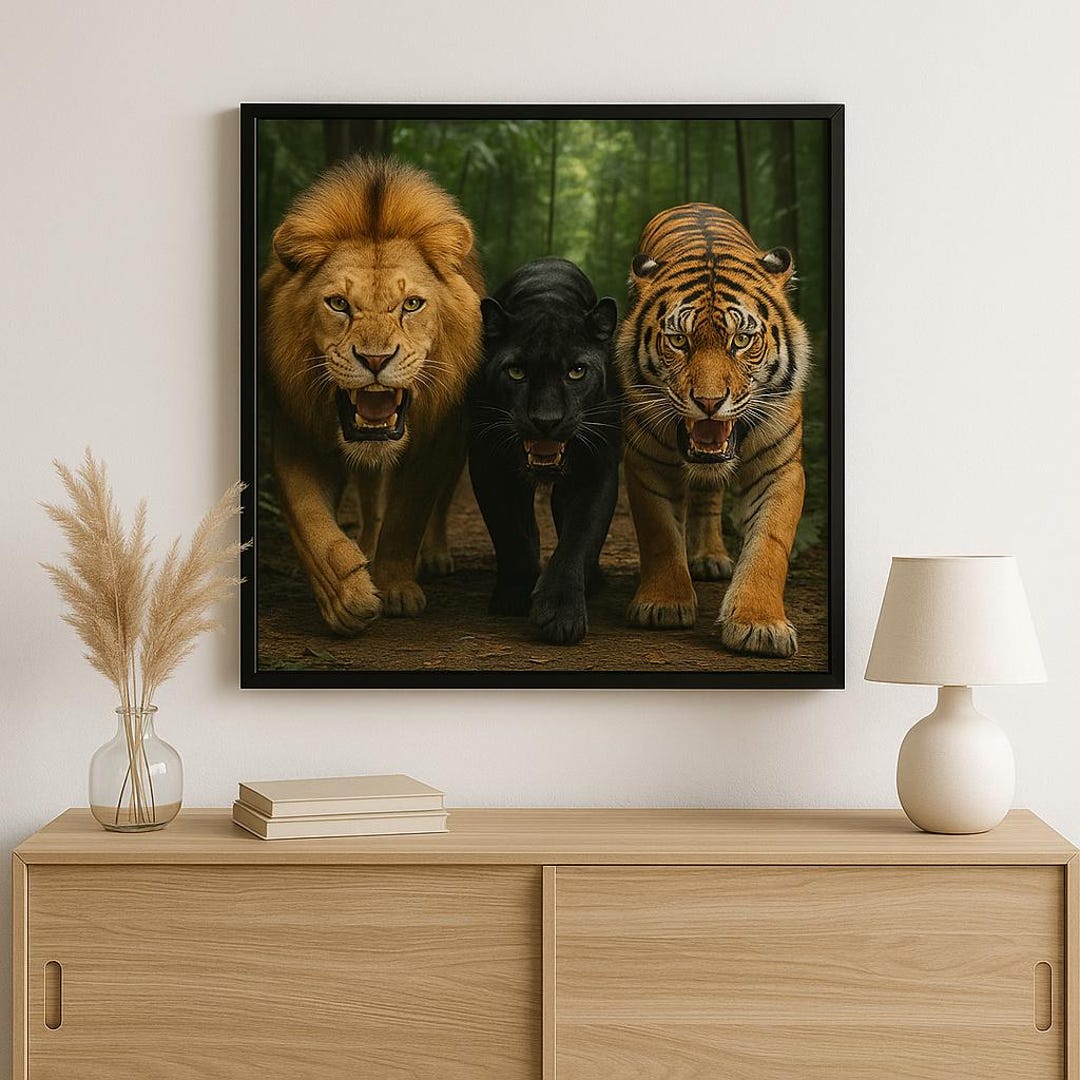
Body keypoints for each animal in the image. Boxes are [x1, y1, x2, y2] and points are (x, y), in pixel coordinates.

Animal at [259, 157, 484, 634]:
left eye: (412, 304)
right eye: (339, 304)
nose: (376, 360)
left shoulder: (435, 442)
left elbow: (407, 515)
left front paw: (396, 588)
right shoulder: (295, 433)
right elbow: (310, 522)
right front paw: (347, 598)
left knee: (440, 505)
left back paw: (435, 557)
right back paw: (364, 547)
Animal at [614, 203, 811, 658]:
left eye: (741, 340)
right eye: (678, 341)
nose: (708, 401)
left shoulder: (781, 469)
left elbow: (769, 545)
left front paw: (759, 624)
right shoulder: (645, 460)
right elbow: (660, 533)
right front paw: (663, 604)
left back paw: (709, 558)